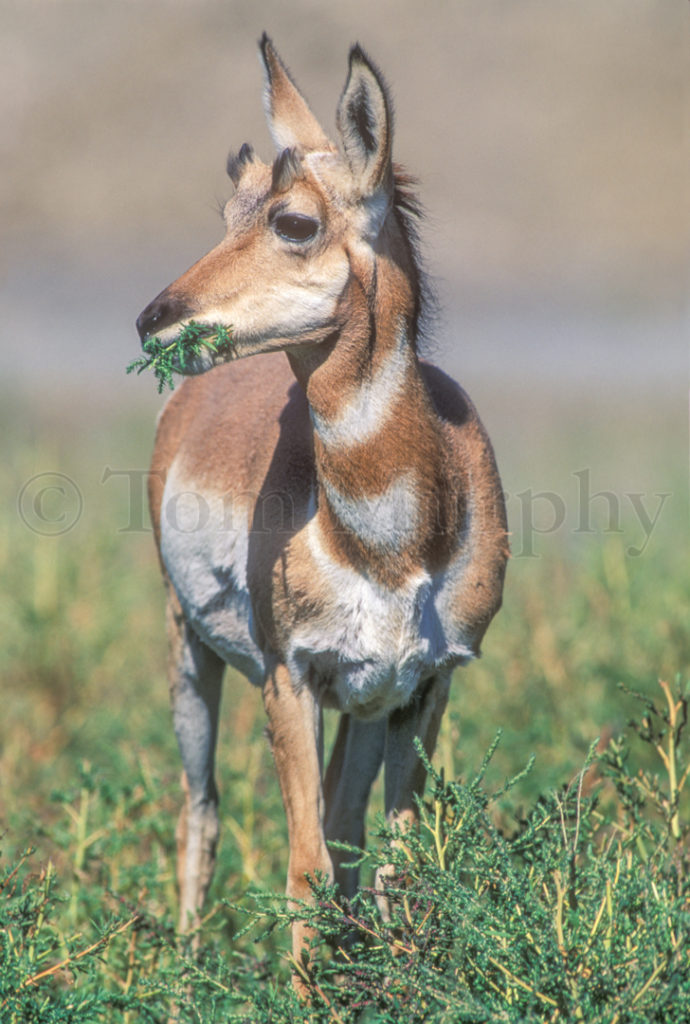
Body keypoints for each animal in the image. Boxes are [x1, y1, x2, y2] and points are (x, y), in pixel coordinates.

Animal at [137, 35, 508, 969]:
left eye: (293, 221)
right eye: (230, 211)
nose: (152, 319)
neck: (387, 547)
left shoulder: (421, 686)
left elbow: (394, 869)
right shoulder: (291, 679)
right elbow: (303, 869)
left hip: (364, 708)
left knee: (344, 837)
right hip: (190, 656)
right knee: (202, 809)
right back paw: (188, 964)